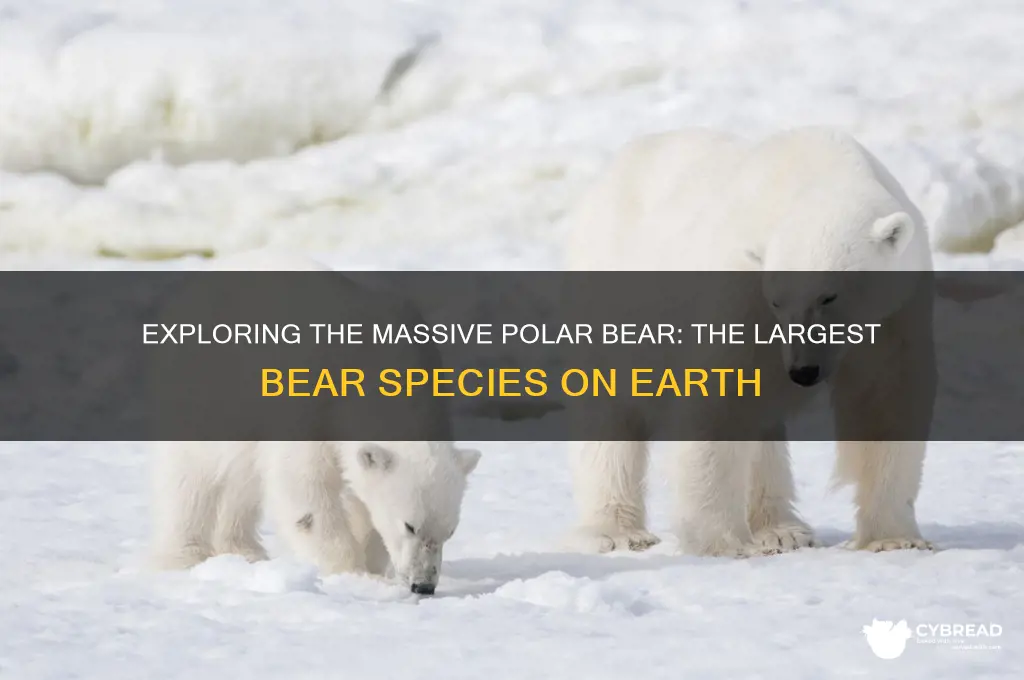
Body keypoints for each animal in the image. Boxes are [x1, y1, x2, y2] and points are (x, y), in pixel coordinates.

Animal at [147, 251, 481, 594]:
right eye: (410, 525)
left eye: (450, 531)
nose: (423, 585)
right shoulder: (311, 402)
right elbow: (303, 487)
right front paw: (352, 571)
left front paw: (370, 562)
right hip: (206, 380)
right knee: (188, 473)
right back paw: (182, 556)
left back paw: (243, 551)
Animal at [561, 126, 936, 557]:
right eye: (778, 300)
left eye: (829, 296)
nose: (804, 370)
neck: (812, 171)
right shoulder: (739, 287)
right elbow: (719, 395)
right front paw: (722, 542)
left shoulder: (897, 307)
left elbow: (886, 397)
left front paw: (894, 538)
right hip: (612, 287)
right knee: (608, 404)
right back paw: (614, 532)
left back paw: (781, 530)